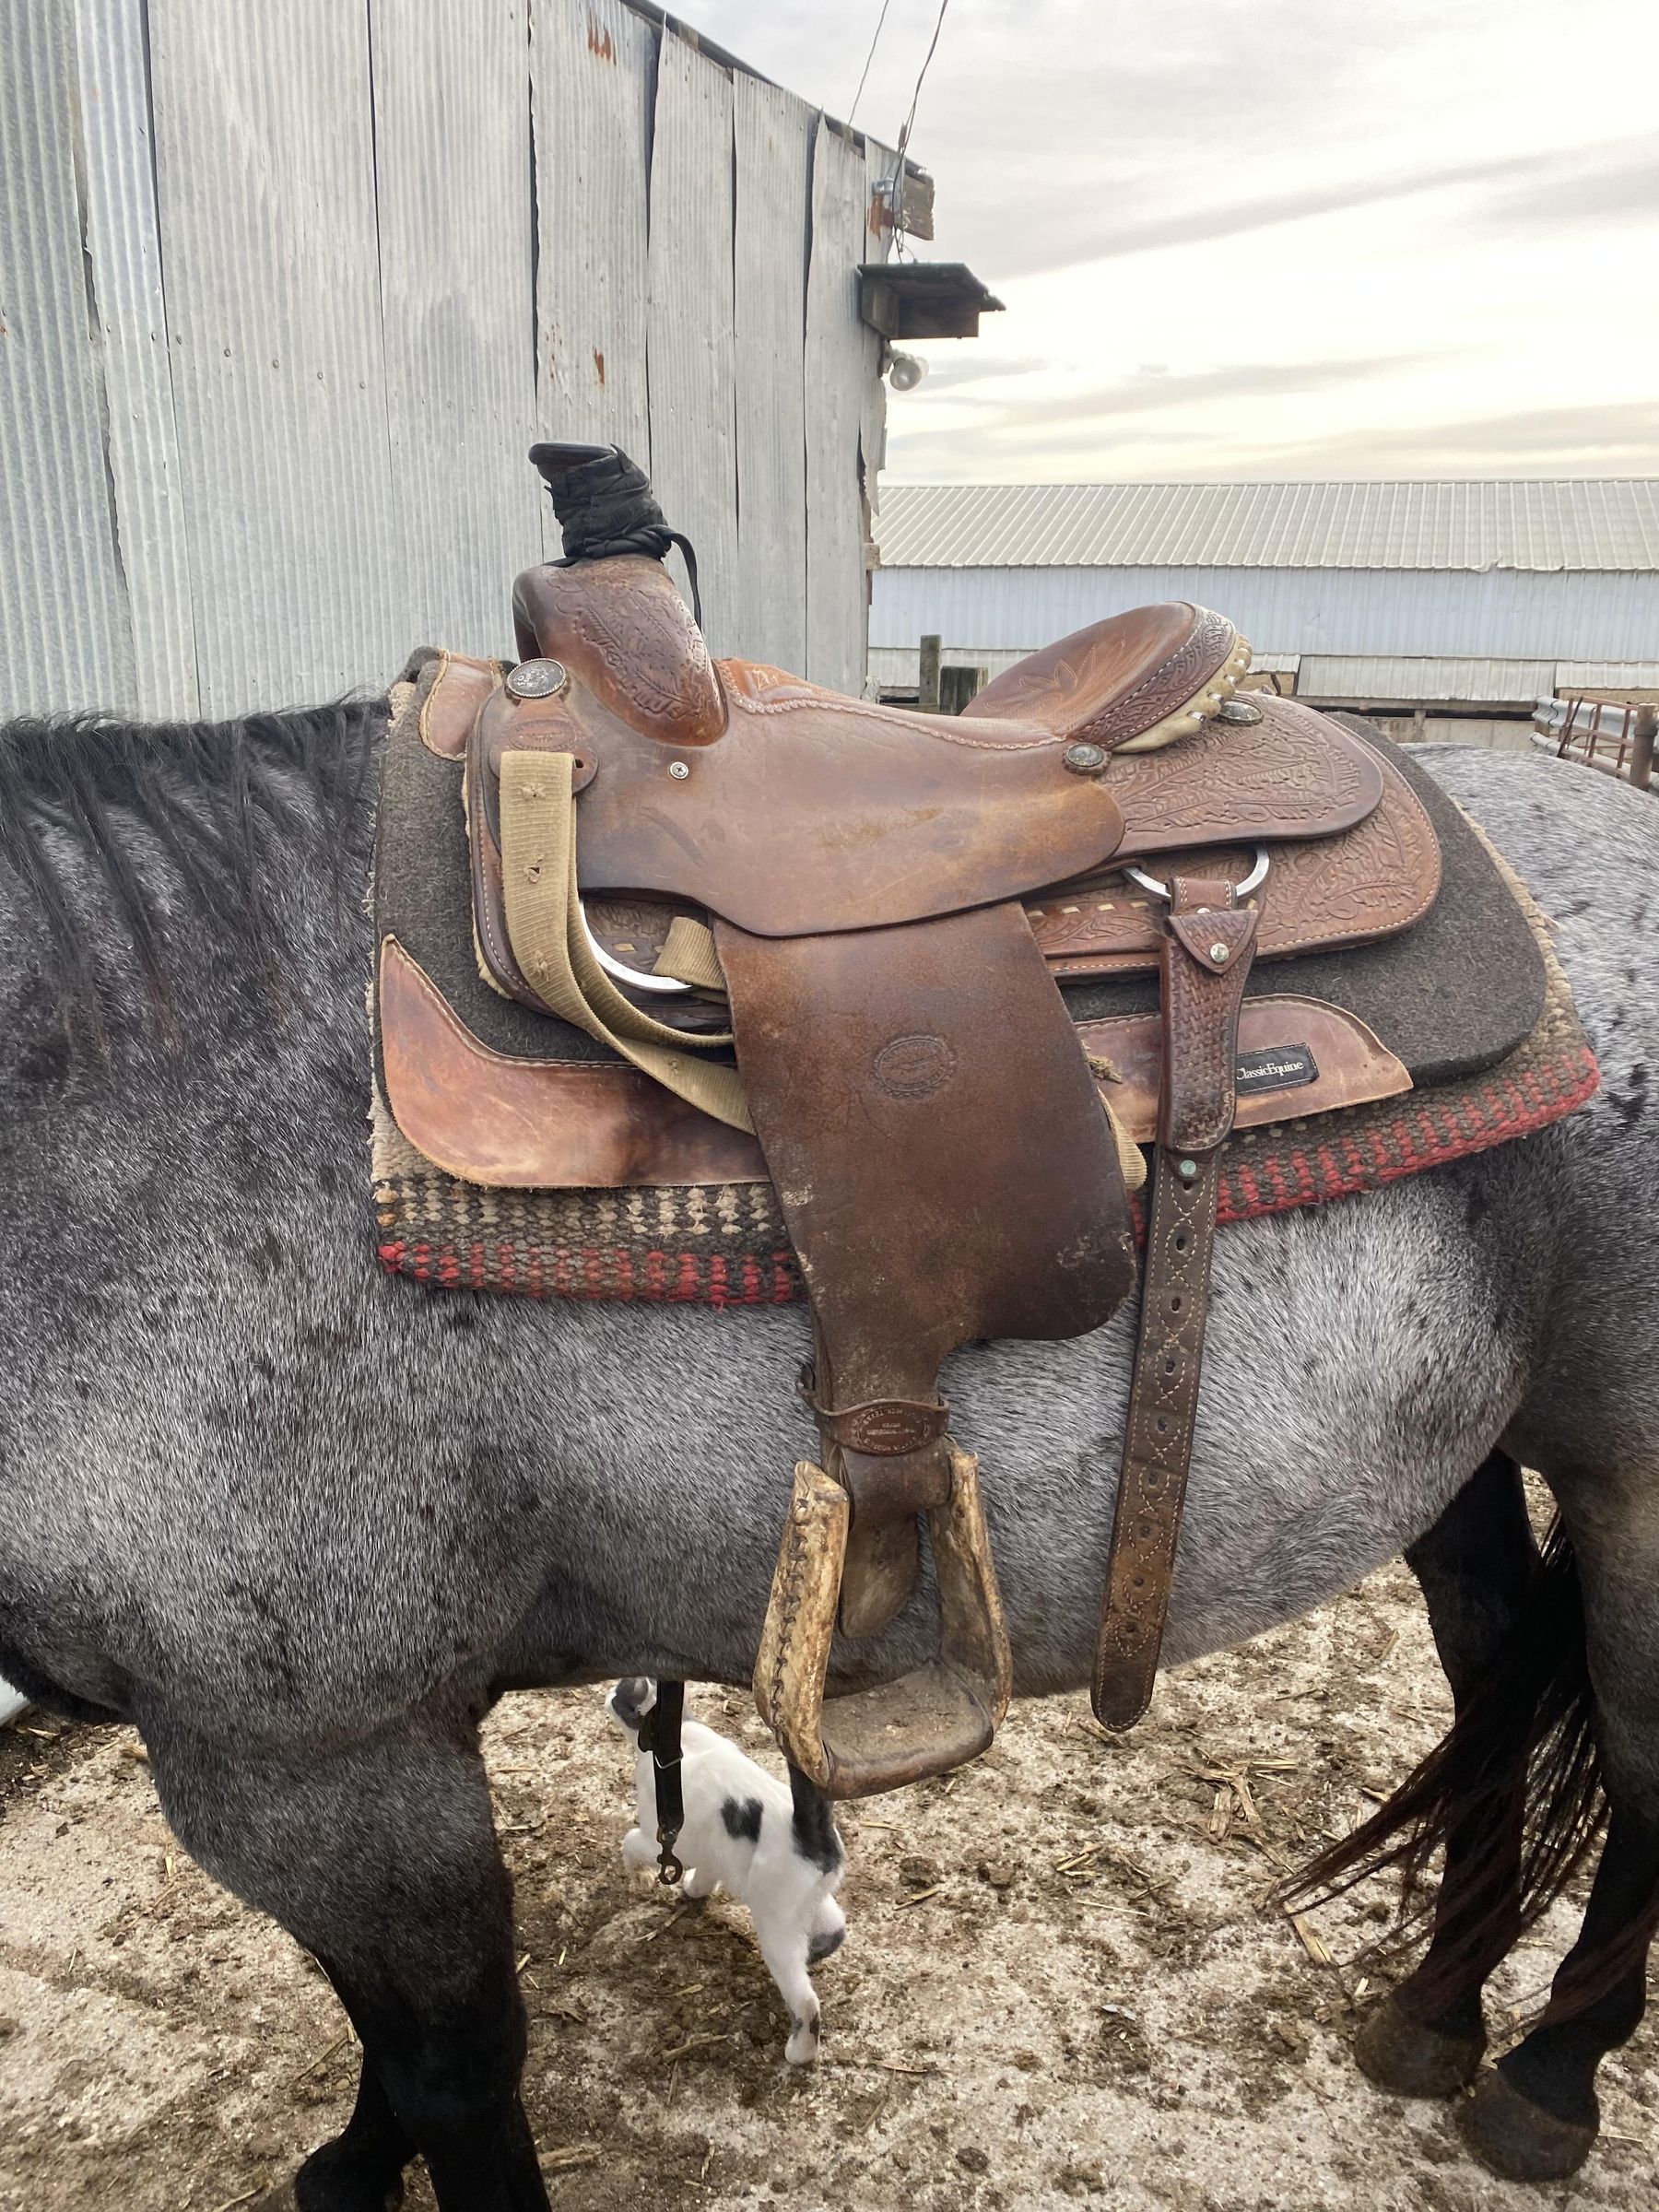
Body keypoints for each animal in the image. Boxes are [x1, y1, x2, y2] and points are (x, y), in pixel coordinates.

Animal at [0, 693, 1652, 2212]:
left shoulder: (327, 1764)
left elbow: (454, 2073)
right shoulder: (337, 1767)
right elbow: (381, 2038)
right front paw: (351, 2164)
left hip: (1632, 1490)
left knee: (1634, 1755)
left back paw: (1551, 2084)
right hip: (1464, 1460)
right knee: (1497, 1679)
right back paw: (1435, 2014)